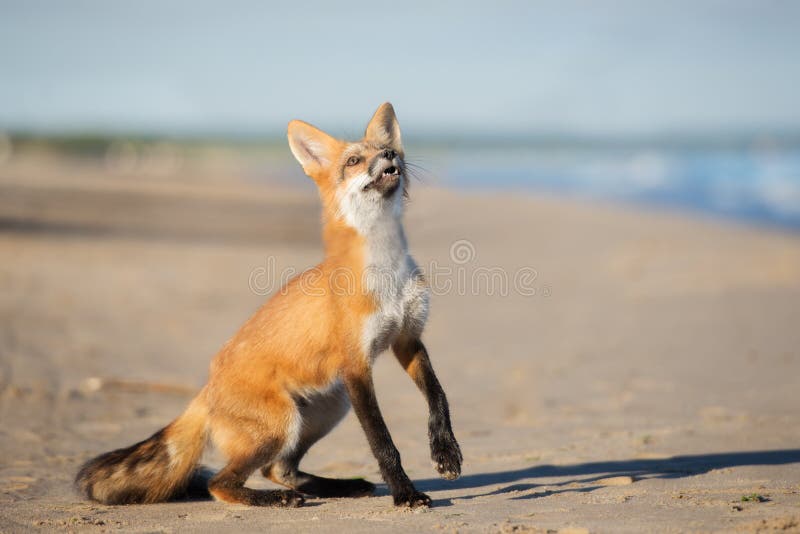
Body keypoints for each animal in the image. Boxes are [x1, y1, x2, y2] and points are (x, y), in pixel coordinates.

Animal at [75, 103, 462, 509]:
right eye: (354, 160)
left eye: (389, 149)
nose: (389, 155)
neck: (387, 272)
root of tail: (206, 389)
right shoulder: (356, 366)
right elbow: (382, 441)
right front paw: (405, 493)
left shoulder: (407, 338)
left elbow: (438, 395)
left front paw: (445, 451)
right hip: (284, 422)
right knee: (222, 482)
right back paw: (274, 499)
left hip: (328, 407)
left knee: (279, 469)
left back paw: (339, 486)